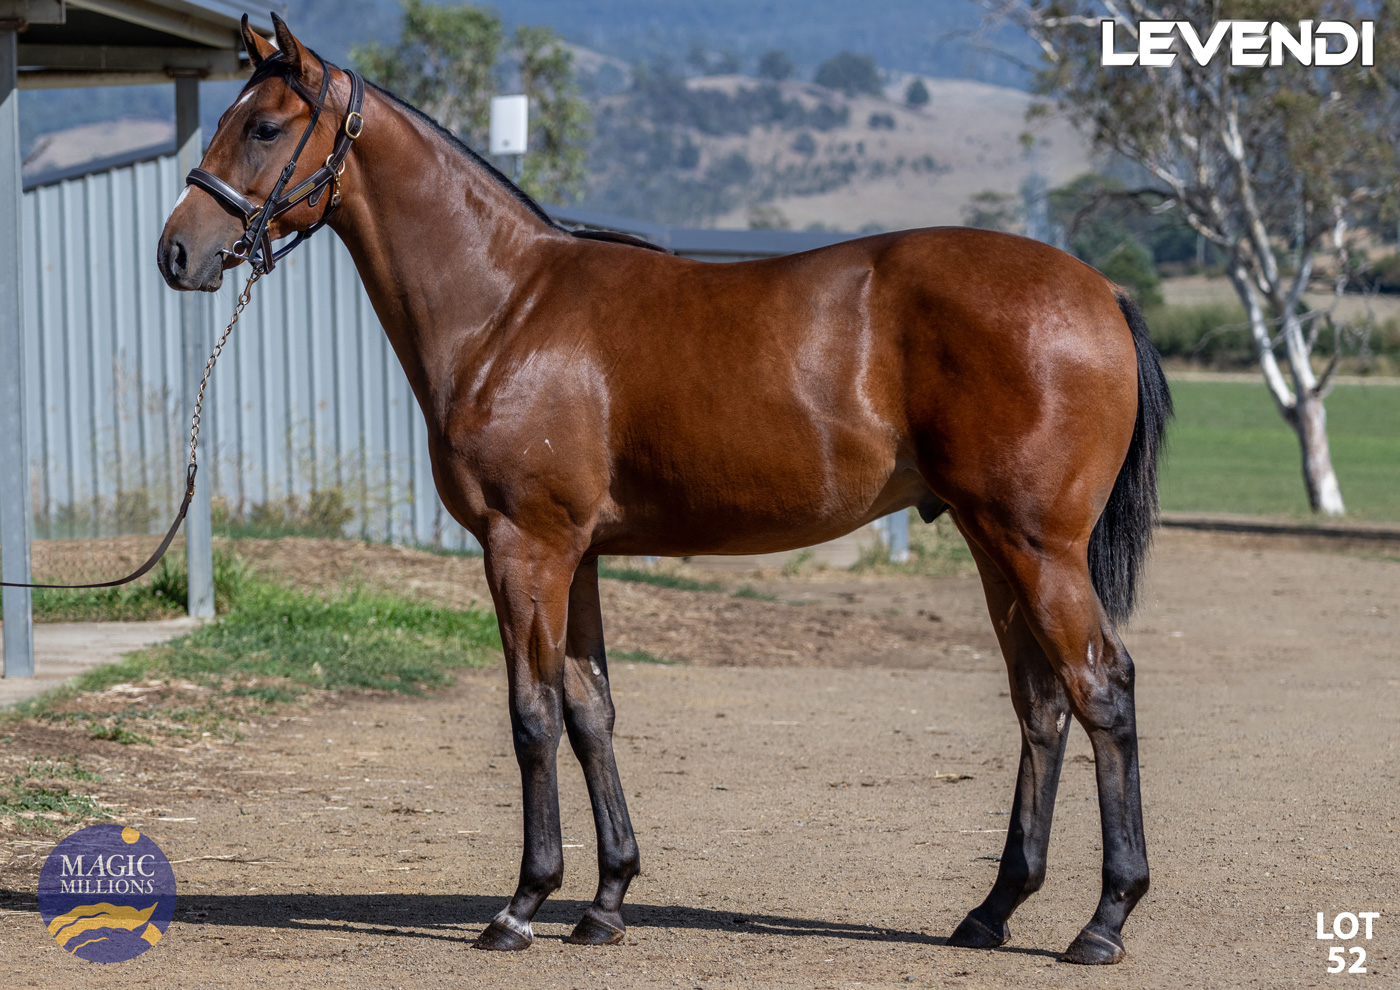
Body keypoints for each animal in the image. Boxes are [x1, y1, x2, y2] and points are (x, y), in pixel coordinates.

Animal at [157, 15, 1170, 966]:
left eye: (264, 126)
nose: (176, 253)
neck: (506, 307)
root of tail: (1100, 293)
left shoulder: (524, 547)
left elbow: (532, 717)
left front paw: (522, 905)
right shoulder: (579, 555)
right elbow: (590, 712)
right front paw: (605, 902)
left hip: (1036, 546)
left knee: (1102, 688)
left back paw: (1105, 920)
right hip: (992, 542)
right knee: (1041, 705)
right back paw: (994, 911)